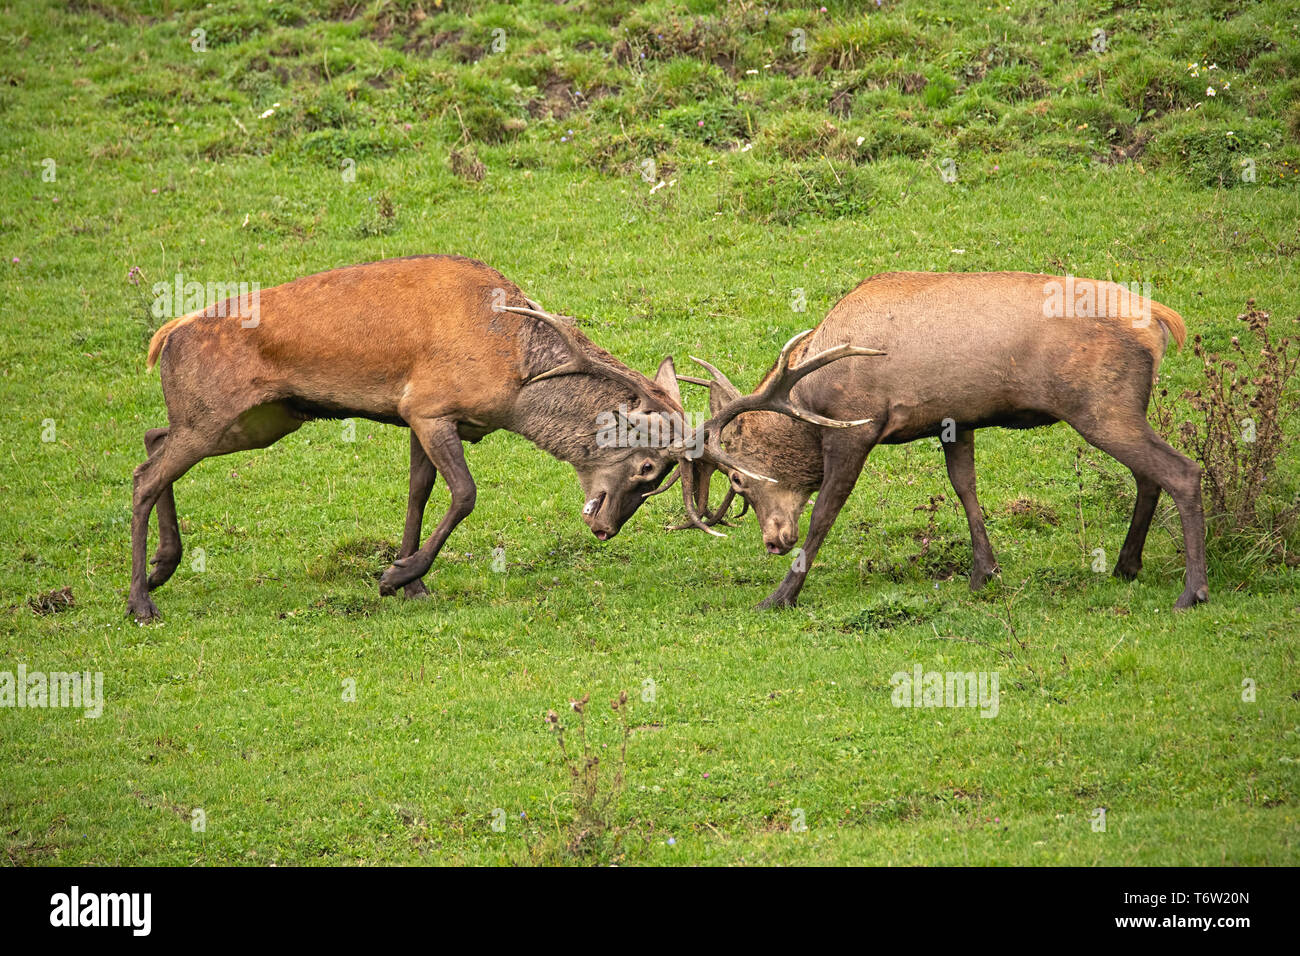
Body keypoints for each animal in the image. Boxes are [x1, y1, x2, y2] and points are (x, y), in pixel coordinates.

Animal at [130, 254, 871, 621]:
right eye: (646, 471)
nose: (604, 528)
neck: (513, 376)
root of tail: (166, 335)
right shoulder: (432, 407)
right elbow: (462, 494)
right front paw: (396, 575)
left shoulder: (423, 416)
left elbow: (419, 491)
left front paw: (411, 580)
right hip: (222, 415)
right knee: (145, 474)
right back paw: (141, 599)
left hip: (259, 420)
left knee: (150, 436)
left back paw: (164, 566)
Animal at [676, 271, 1209, 612]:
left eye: (739, 479)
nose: (773, 541)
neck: (809, 393)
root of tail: (1160, 320)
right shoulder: (956, 420)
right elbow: (964, 486)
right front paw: (984, 572)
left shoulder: (856, 426)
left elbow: (825, 511)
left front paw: (780, 596)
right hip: (1120, 409)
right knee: (1149, 475)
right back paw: (1126, 566)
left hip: (1100, 406)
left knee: (1181, 470)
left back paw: (1192, 592)